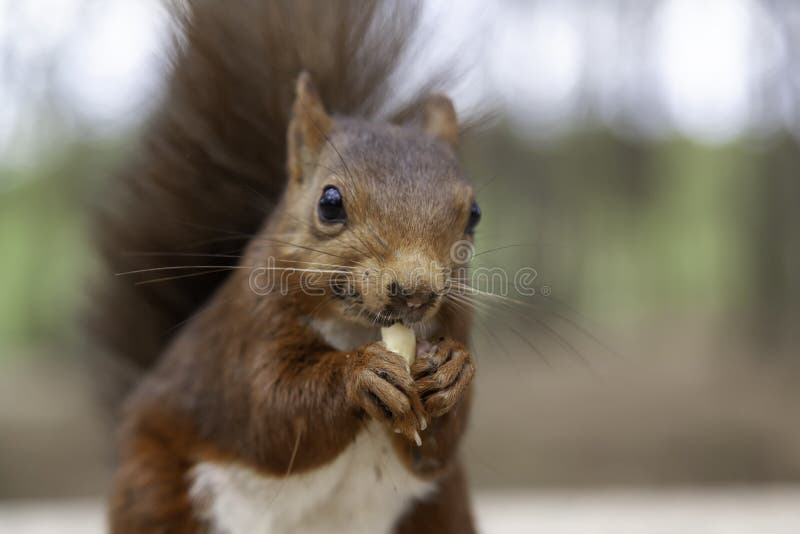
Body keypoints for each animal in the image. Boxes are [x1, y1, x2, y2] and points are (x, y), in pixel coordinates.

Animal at [90, 1, 481, 532]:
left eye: (475, 214)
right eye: (330, 203)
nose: (416, 291)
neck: (355, 328)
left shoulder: (457, 320)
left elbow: (437, 448)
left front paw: (452, 370)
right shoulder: (247, 331)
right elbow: (270, 409)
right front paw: (361, 373)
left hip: (442, 508)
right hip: (155, 489)